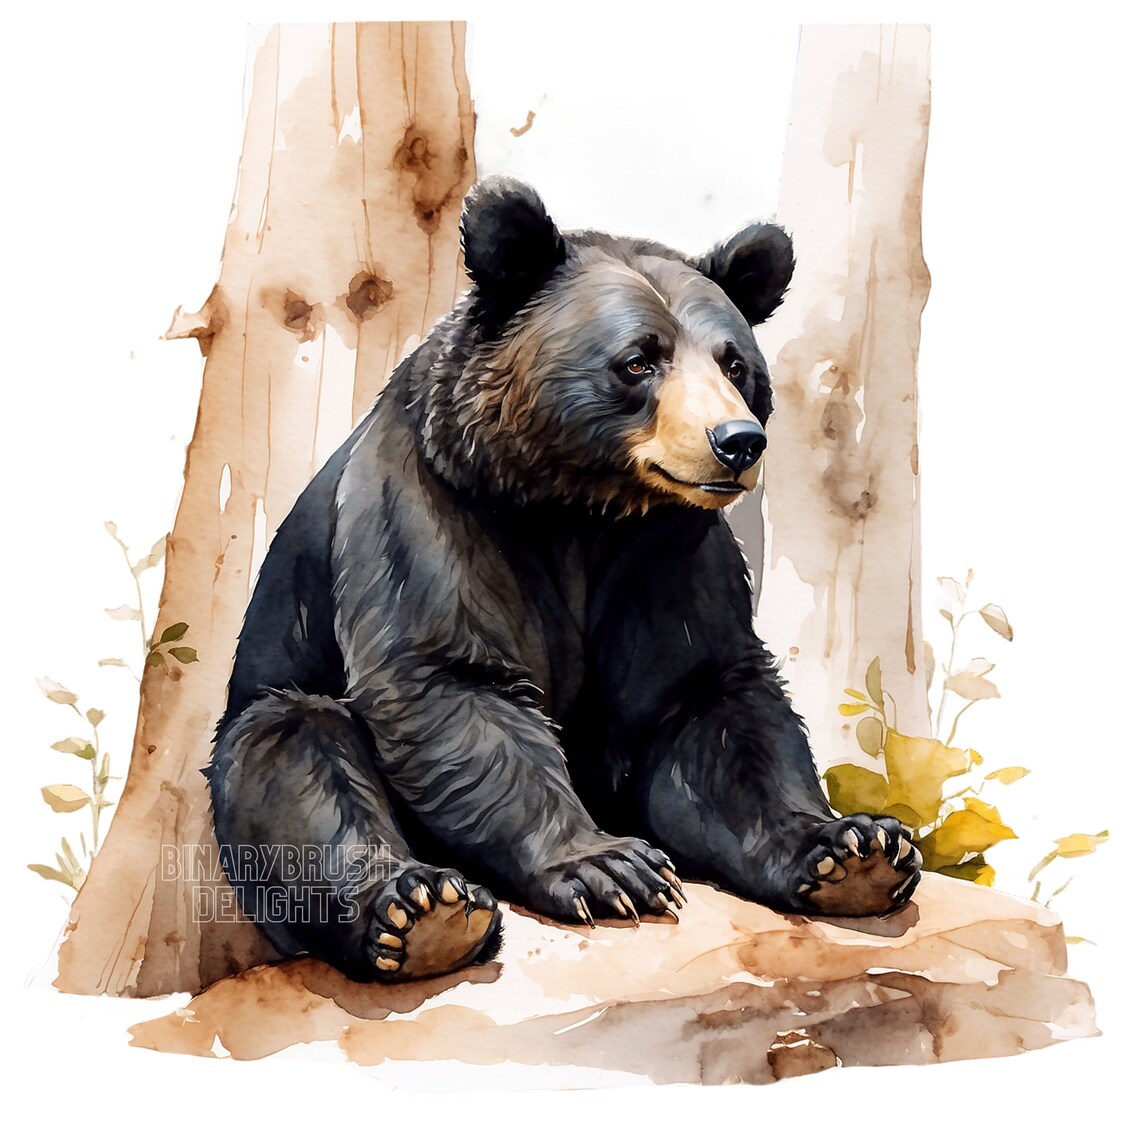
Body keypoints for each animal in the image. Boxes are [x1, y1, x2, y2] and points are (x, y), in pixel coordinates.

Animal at [208, 177, 922, 983]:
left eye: (734, 362)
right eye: (639, 361)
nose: (738, 442)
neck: (580, 505)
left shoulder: (666, 558)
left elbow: (712, 709)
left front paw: (855, 848)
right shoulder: (435, 512)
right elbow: (454, 683)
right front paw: (608, 866)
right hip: (273, 703)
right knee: (296, 753)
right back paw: (423, 910)